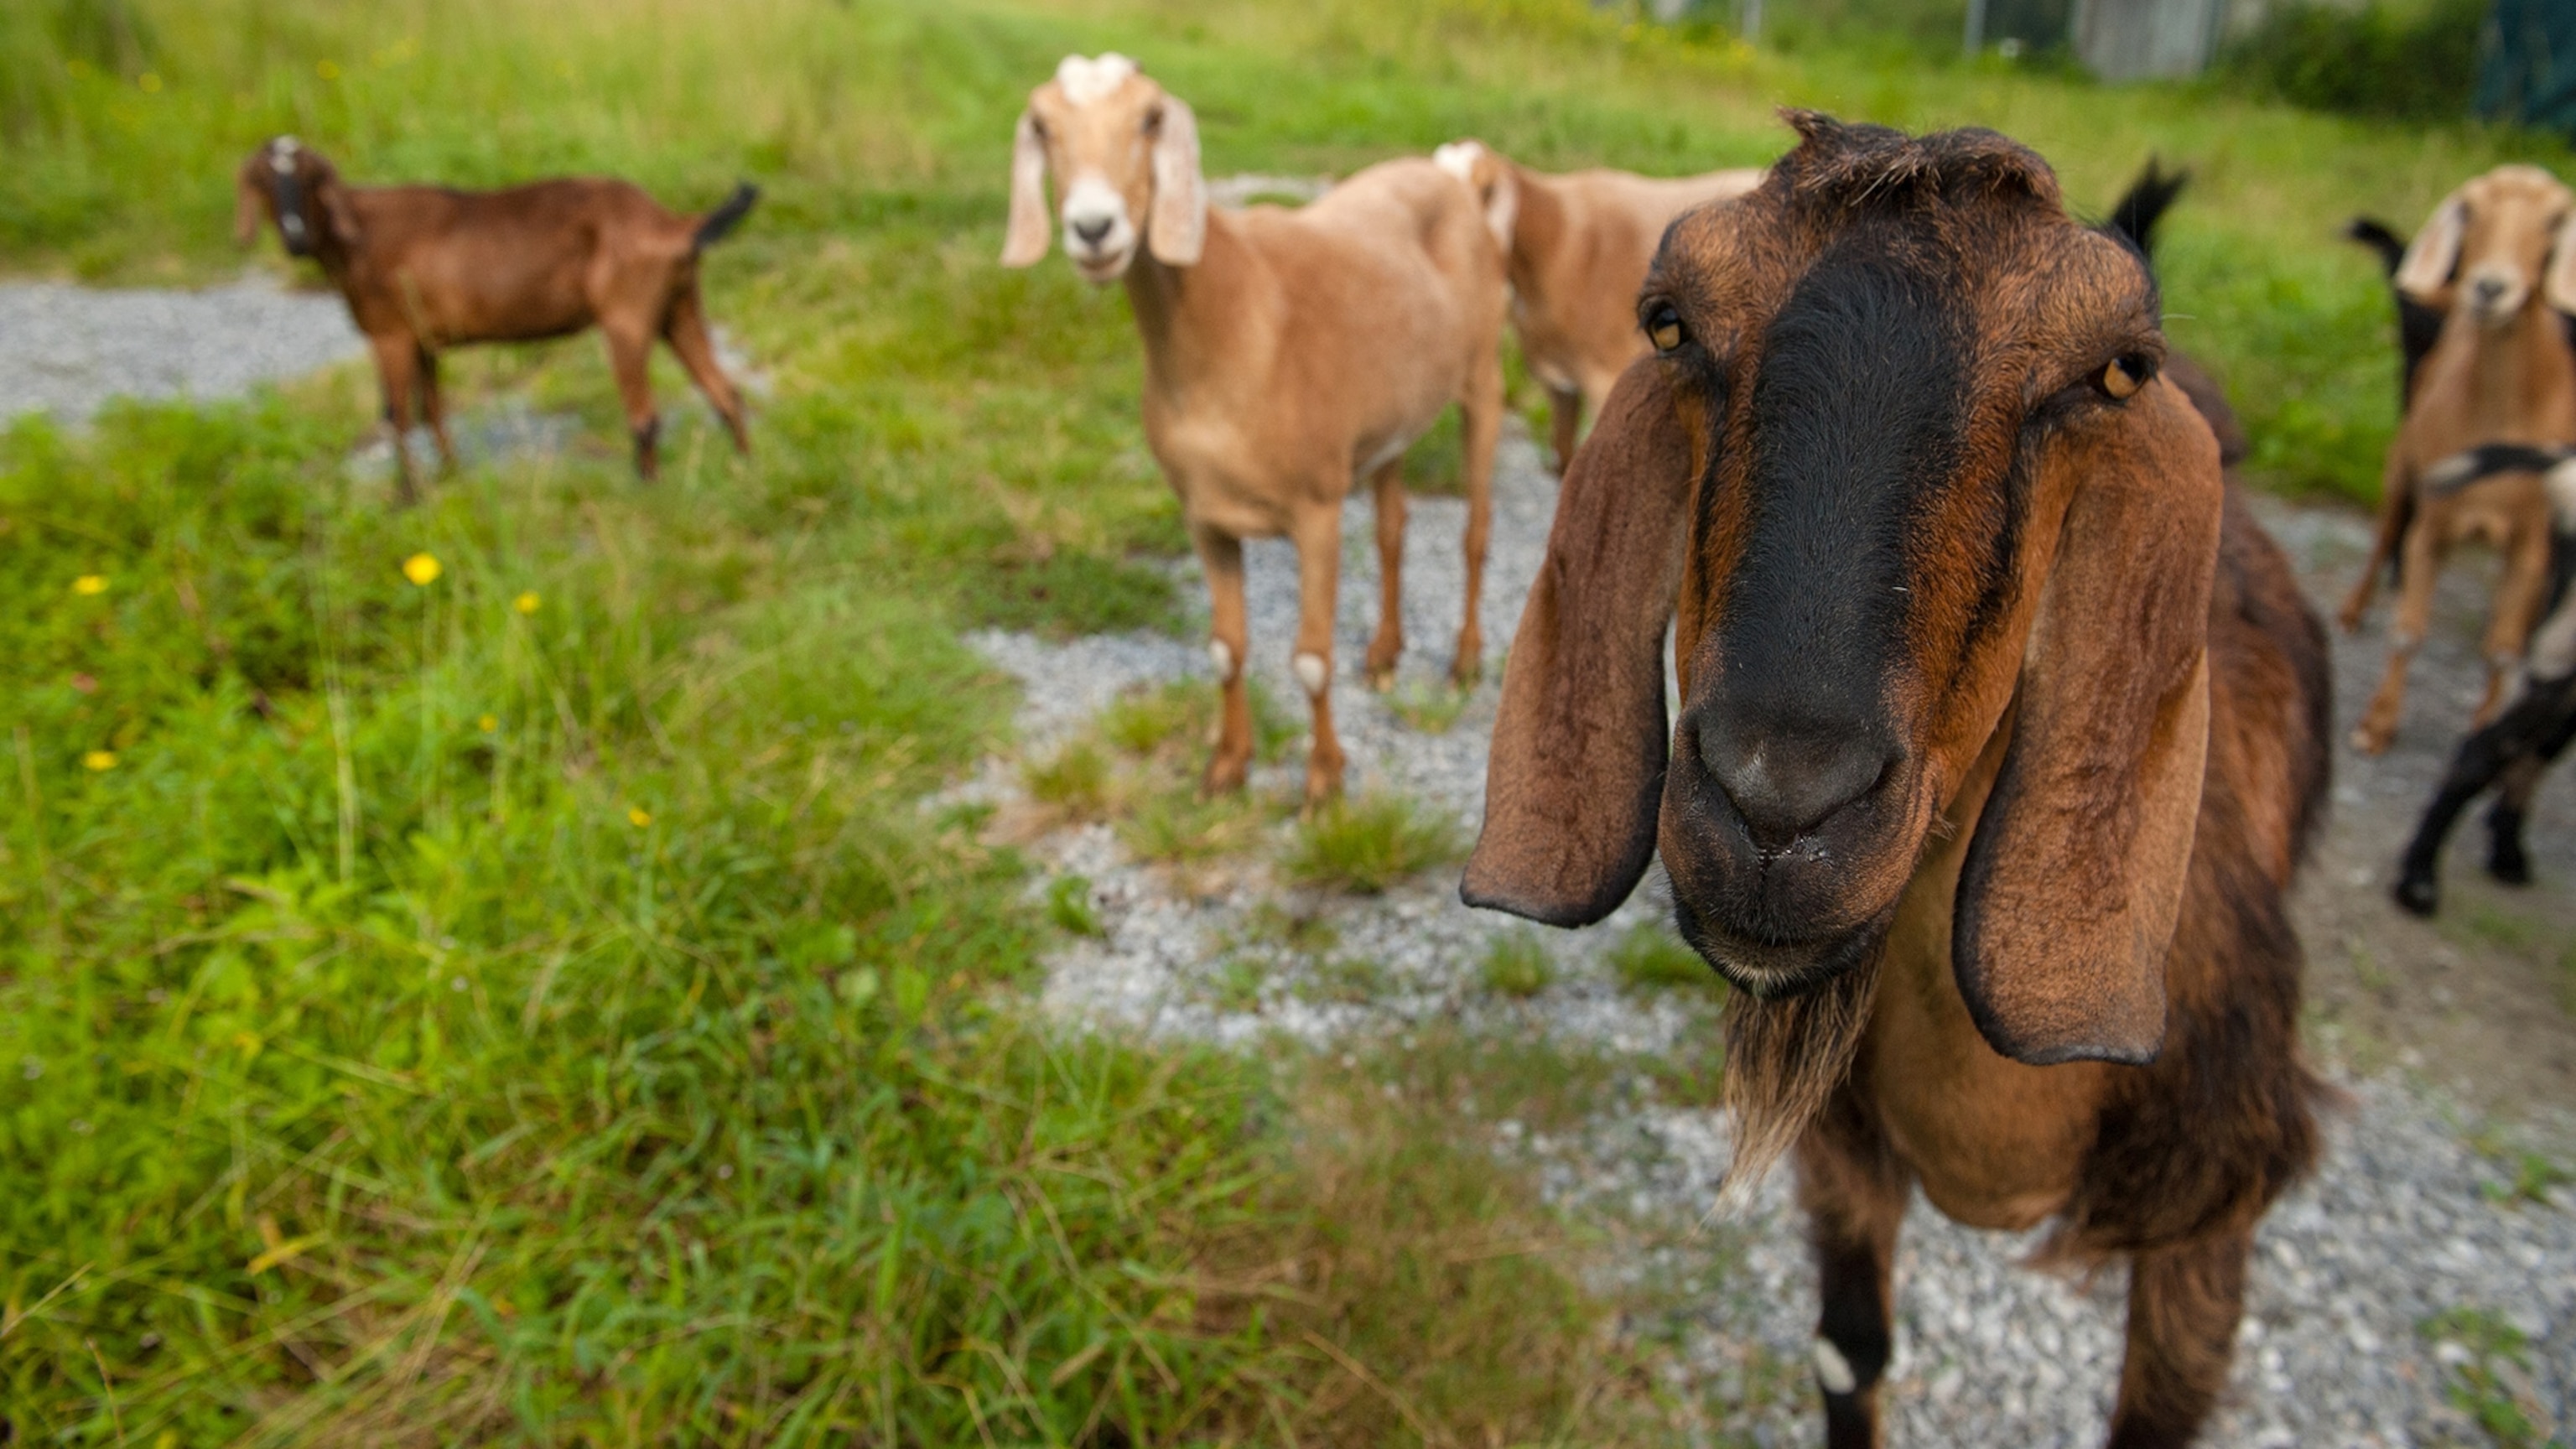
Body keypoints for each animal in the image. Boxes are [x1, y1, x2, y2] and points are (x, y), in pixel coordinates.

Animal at [234, 136, 757, 499]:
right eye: (263, 182)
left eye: (311, 180)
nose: (295, 237)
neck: (360, 234)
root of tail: (673, 224)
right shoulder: (424, 340)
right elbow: (432, 409)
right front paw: (449, 475)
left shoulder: (391, 334)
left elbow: (395, 417)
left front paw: (406, 497)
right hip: (678, 307)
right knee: (724, 392)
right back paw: (746, 472)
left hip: (625, 315)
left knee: (646, 416)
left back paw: (648, 492)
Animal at [1001, 56, 1507, 804]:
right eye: (1042, 125)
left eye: (1151, 119)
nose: (1094, 228)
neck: (1240, 323)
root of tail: (1452, 173)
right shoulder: (1204, 515)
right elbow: (1224, 649)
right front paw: (1227, 765)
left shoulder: (1316, 508)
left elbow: (1310, 659)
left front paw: (1323, 781)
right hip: (1391, 421)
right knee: (1393, 528)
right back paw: (1385, 653)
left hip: (1483, 377)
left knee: (1475, 529)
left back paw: (1466, 661)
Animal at [1465, 118, 2330, 1447]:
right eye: (1669, 325)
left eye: (2116, 372)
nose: (1777, 807)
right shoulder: (1848, 1155)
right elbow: (1849, 1352)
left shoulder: (2212, 1219)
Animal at [2337, 165, 2576, 754]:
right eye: (2471, 211)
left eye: (2553, 221)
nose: (2490, 288)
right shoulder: (2433, 524)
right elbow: (2407, 631)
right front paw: (2378, 722)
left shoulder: (2532, 544)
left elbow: (2502, 649)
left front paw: (2486, 719)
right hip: (2400, 476)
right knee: (2385, 542)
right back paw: (2356, 608)